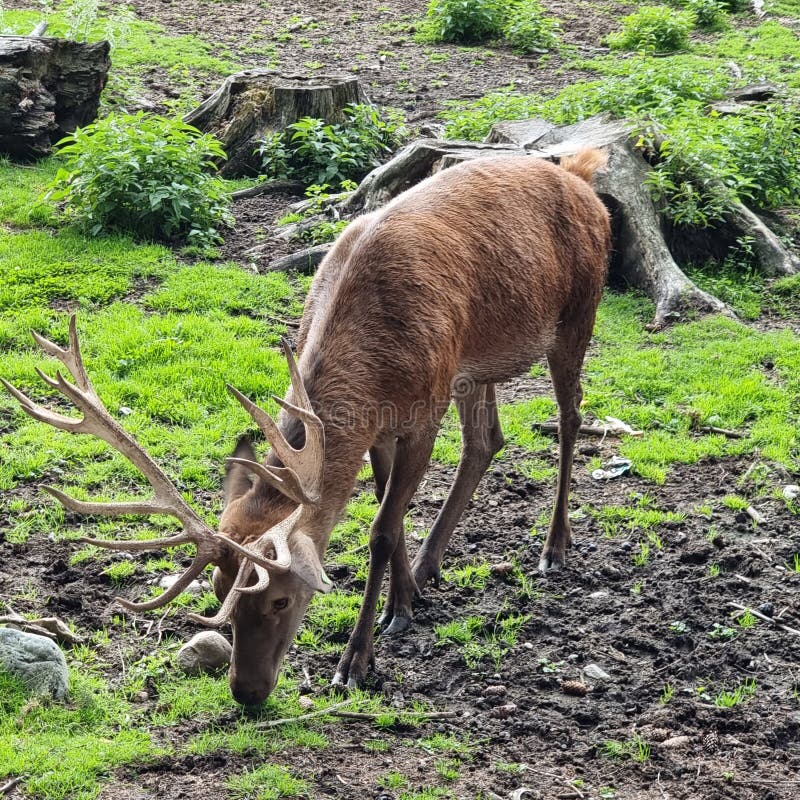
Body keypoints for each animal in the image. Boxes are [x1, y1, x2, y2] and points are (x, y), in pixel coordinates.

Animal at [3, 149, 611, 705]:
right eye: (219, 591)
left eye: (280, 599)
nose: (246, 691)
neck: (376, 365)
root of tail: (583, 179)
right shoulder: (381, 427)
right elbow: (391, 514)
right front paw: (404, 603)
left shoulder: (424, 410)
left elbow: (381, 531)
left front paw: (356, 660)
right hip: (478, 366)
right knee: (486, 441)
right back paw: (430, 566)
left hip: (579, 312)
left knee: (570, 417)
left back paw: (555, 546)